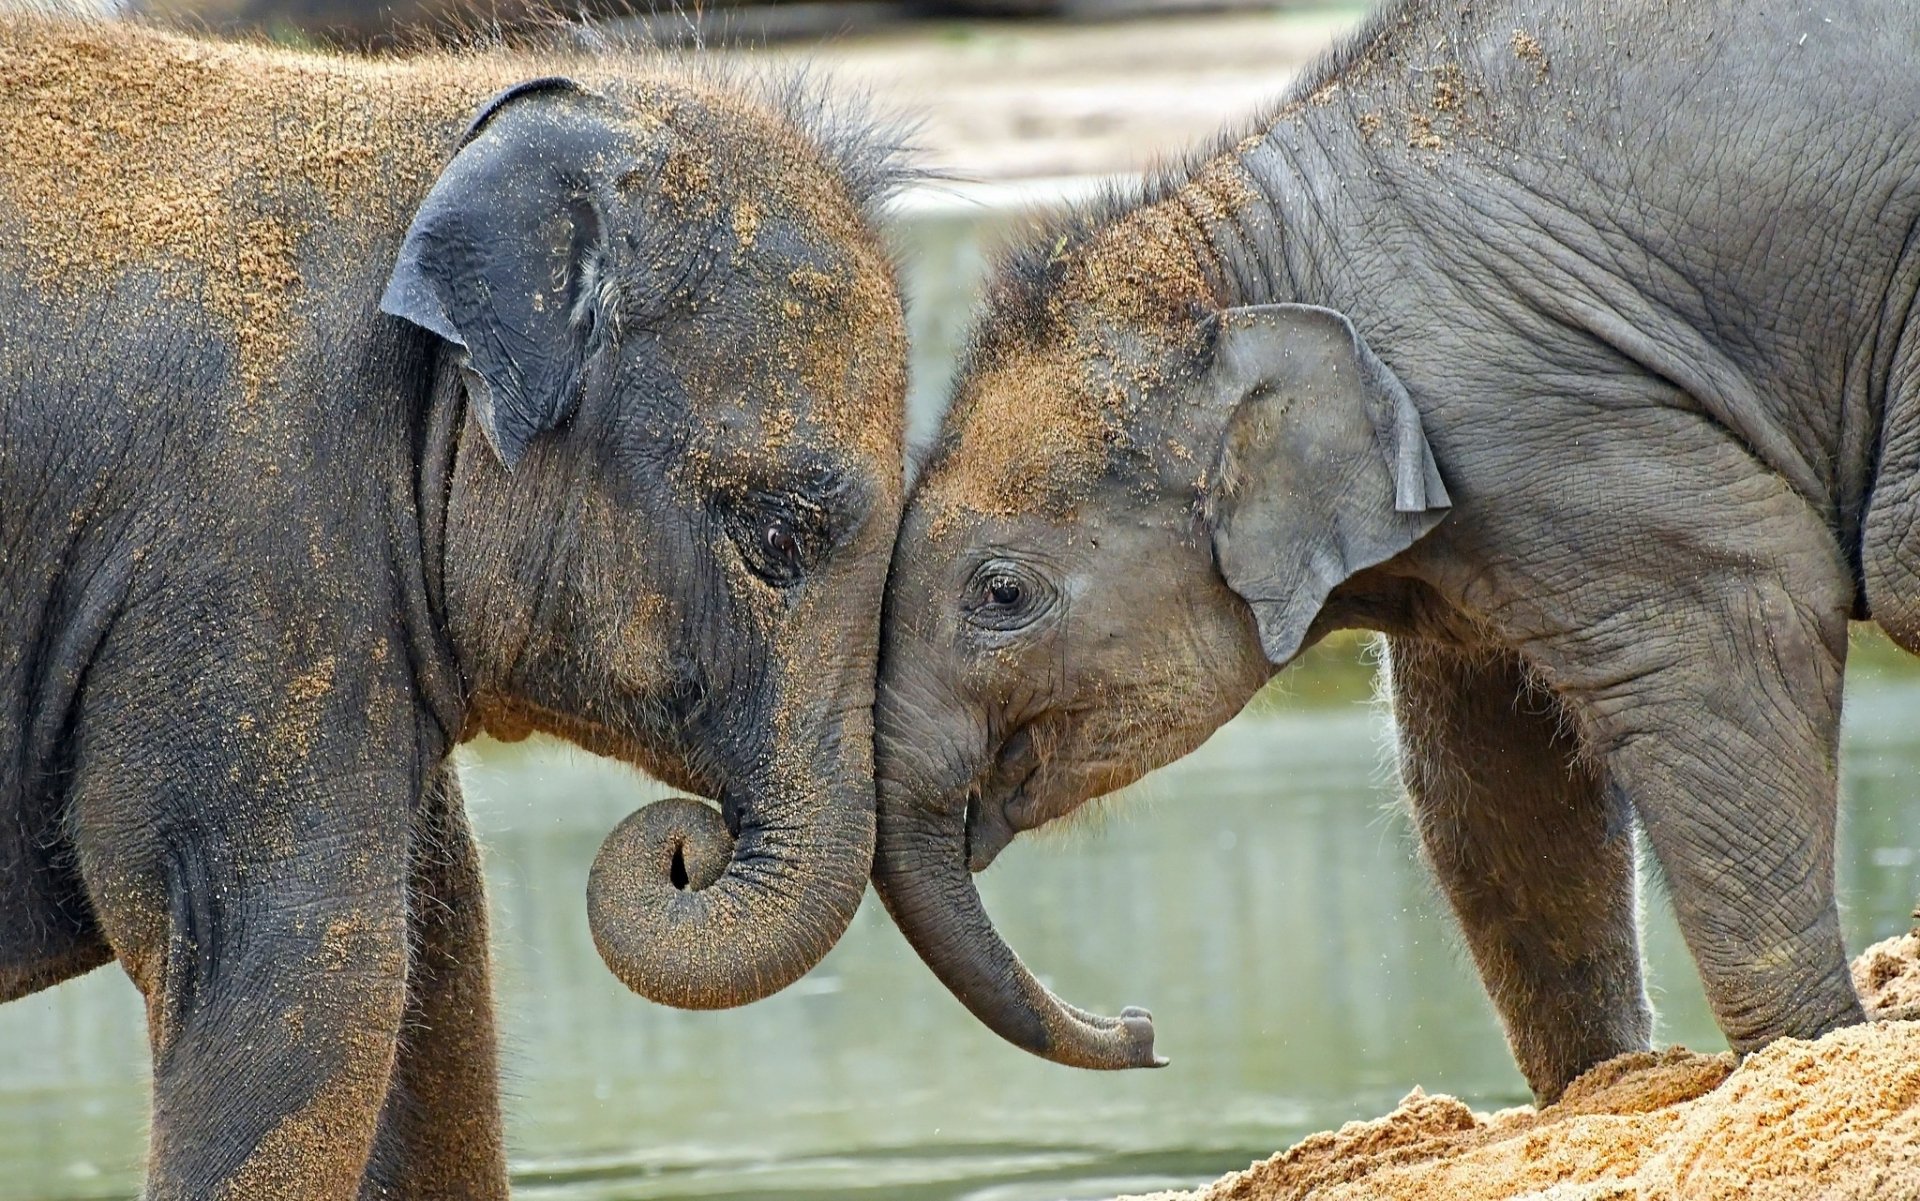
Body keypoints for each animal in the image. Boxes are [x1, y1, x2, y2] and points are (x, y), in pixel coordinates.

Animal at [0, 12, 909, 1198]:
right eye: (779, 538)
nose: (691, 849)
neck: (442, 130)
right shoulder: (254, 561)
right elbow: (305, 980)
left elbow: (436, 967)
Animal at [871, 0, 1920, 1104]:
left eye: (1001, 594)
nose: (1144, 1027)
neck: (1229, 250)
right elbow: (1487, 767)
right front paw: (1603, 1087)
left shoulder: (1537, 419)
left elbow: (1726, 633)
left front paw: (1813, 1054)